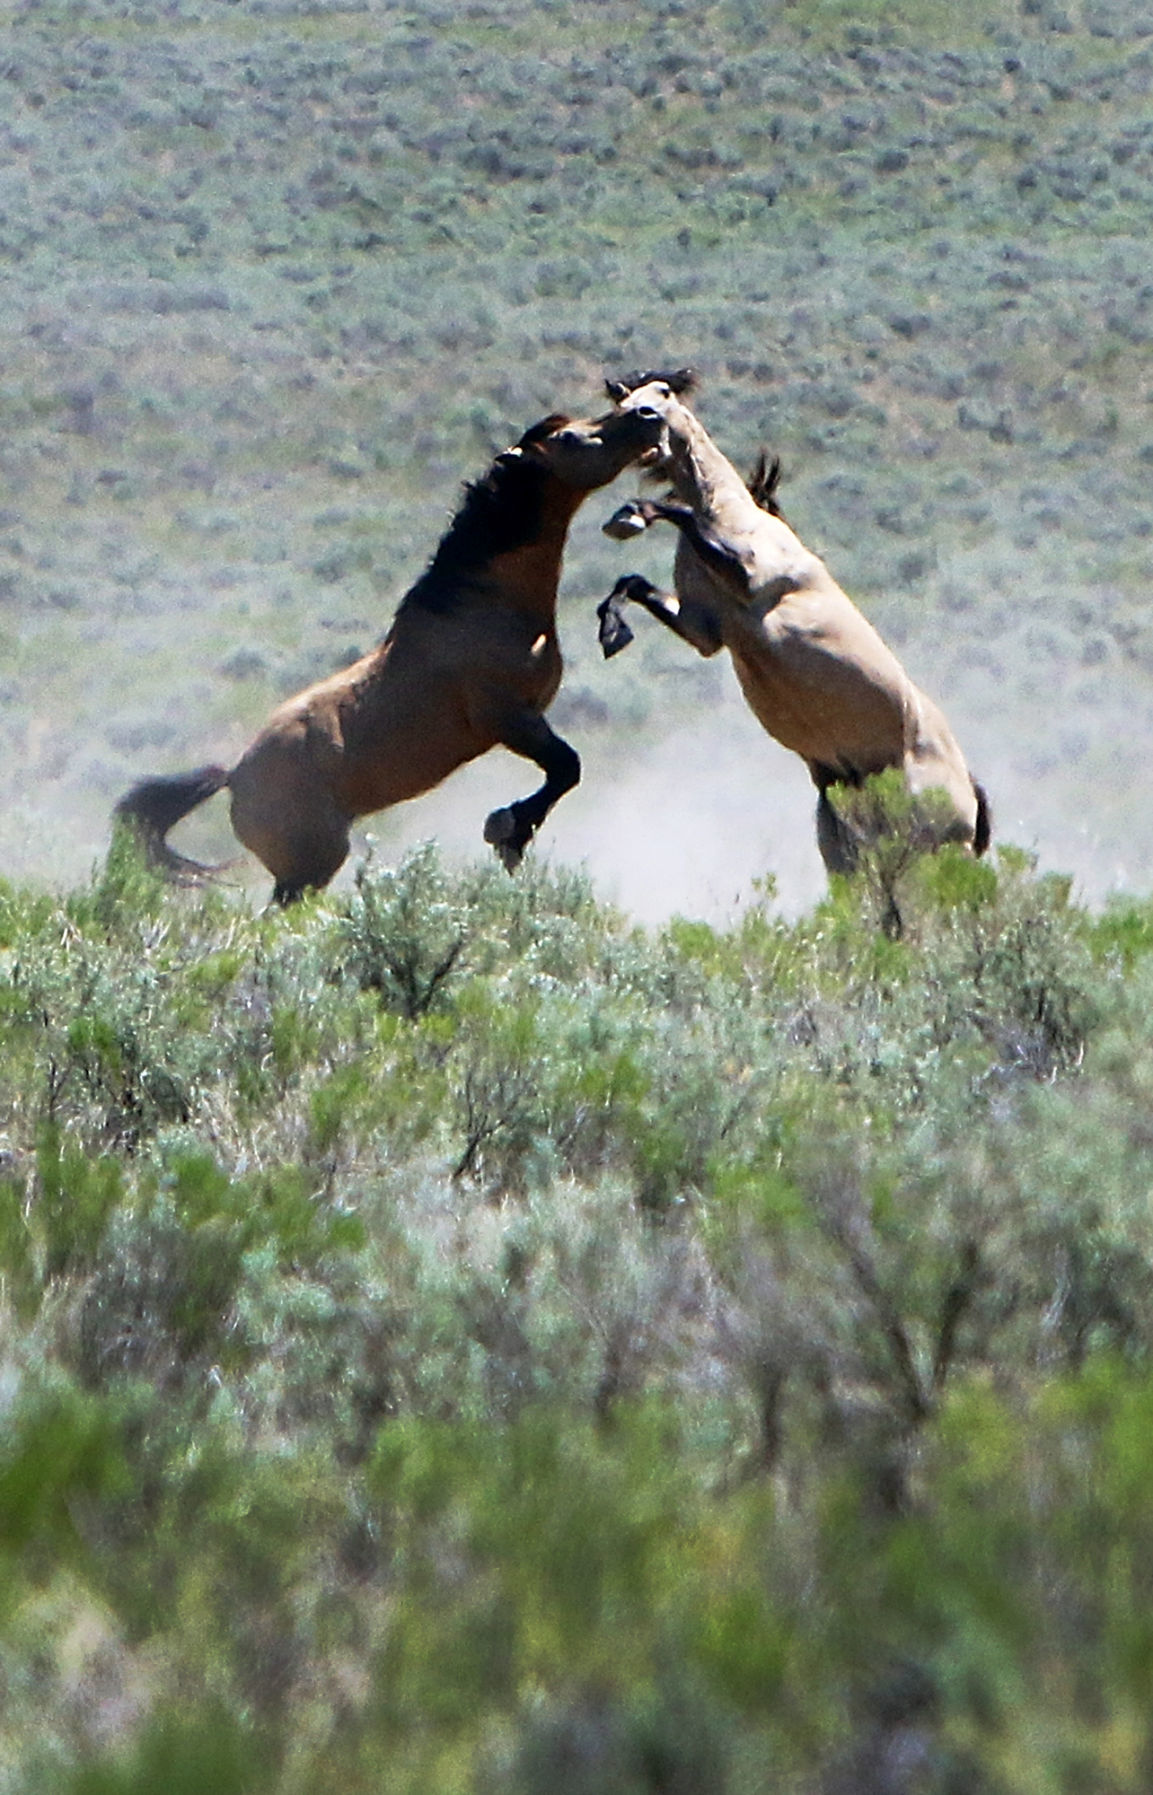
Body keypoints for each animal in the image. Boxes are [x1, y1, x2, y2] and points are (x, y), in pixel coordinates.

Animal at [115, 400, 666, 903]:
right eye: (570, 437)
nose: (647, 415)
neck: (481, 606)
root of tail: (233, 777)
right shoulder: (508, 718)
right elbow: (567, 767)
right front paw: (507, 830)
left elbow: (564, 772)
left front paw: (512, 834)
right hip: (310, 868)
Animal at [597, 375, 990, 878]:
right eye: (626, 397)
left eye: (663, 393)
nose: (635, 416)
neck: (735, 517)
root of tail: (971, 794)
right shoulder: (702, 628)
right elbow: (630, 584)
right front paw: (612, 632)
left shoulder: (750, 582)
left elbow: (680, 517)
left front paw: (632, 514)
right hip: (849, 850)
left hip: (930, 852)